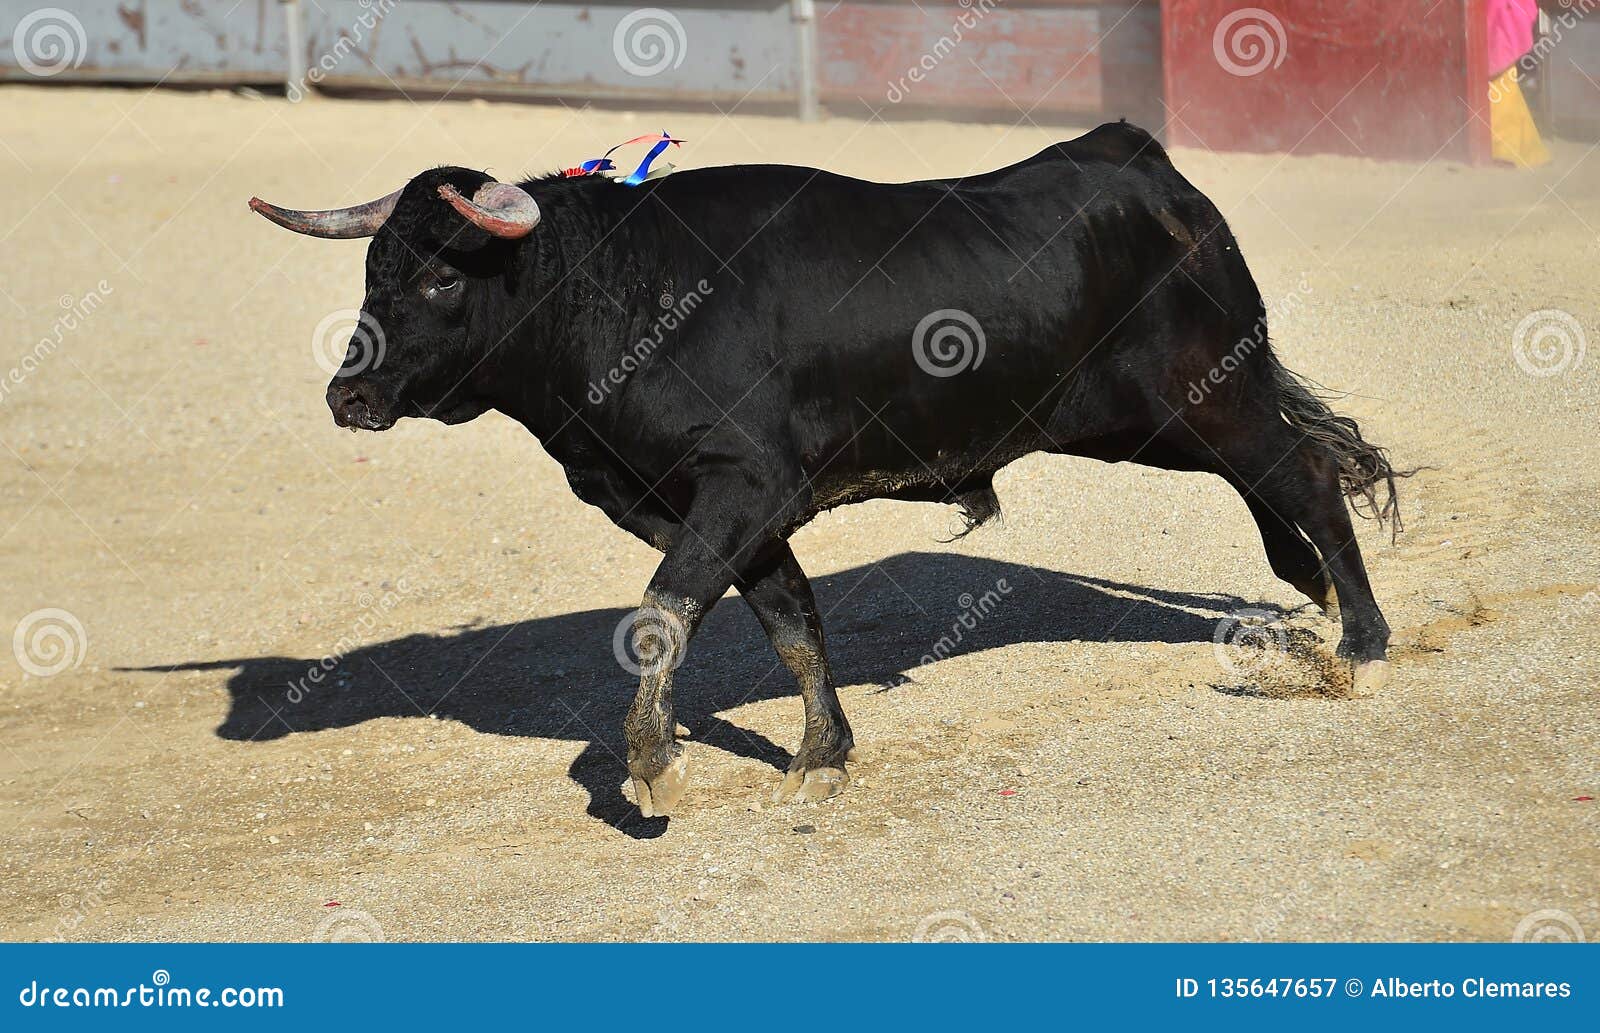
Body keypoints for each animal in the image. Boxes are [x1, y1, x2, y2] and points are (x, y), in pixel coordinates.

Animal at [249, 121, 1400, 818]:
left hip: (1206, 395)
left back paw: (1363, 642)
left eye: (442, 278)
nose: (349, 397)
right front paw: (820, 754)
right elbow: (789, 621)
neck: (616, 293)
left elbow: (663, 613)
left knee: (1302, 474)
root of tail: (1146, 163)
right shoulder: (716, 509)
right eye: (372, 269)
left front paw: (651, 764)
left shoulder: (740, 486)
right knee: (1279, 482)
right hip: (1152, 421)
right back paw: (1310, 595)